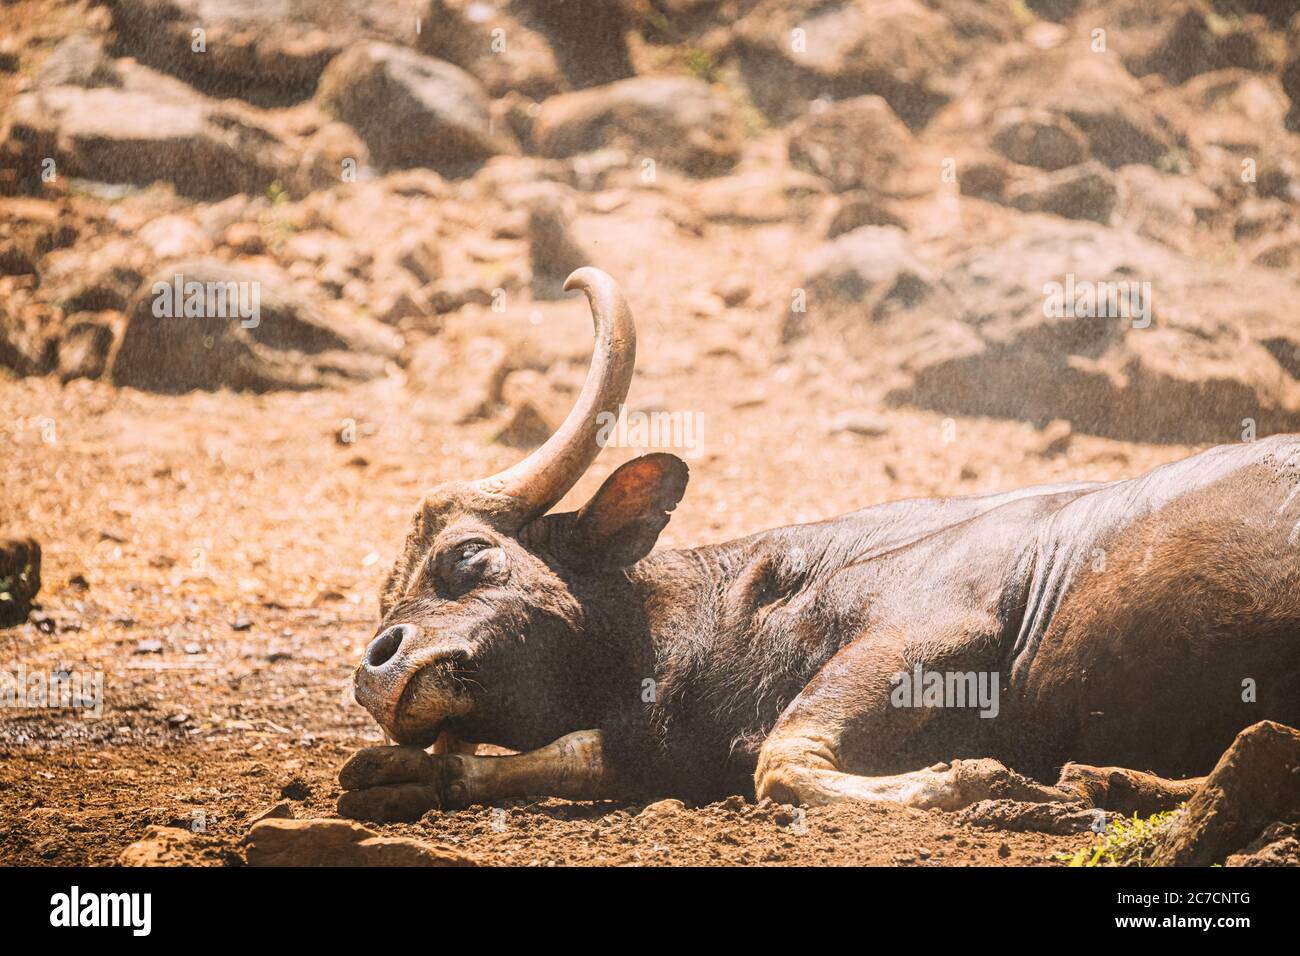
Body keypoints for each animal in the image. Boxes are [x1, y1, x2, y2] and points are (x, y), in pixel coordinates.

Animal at [339, 268, 1300, 822]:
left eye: (469, 555)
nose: (377, 666)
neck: (751, 603)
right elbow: (575, 756)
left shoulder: (926, 637)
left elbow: (784, 761)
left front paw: (987, 782)